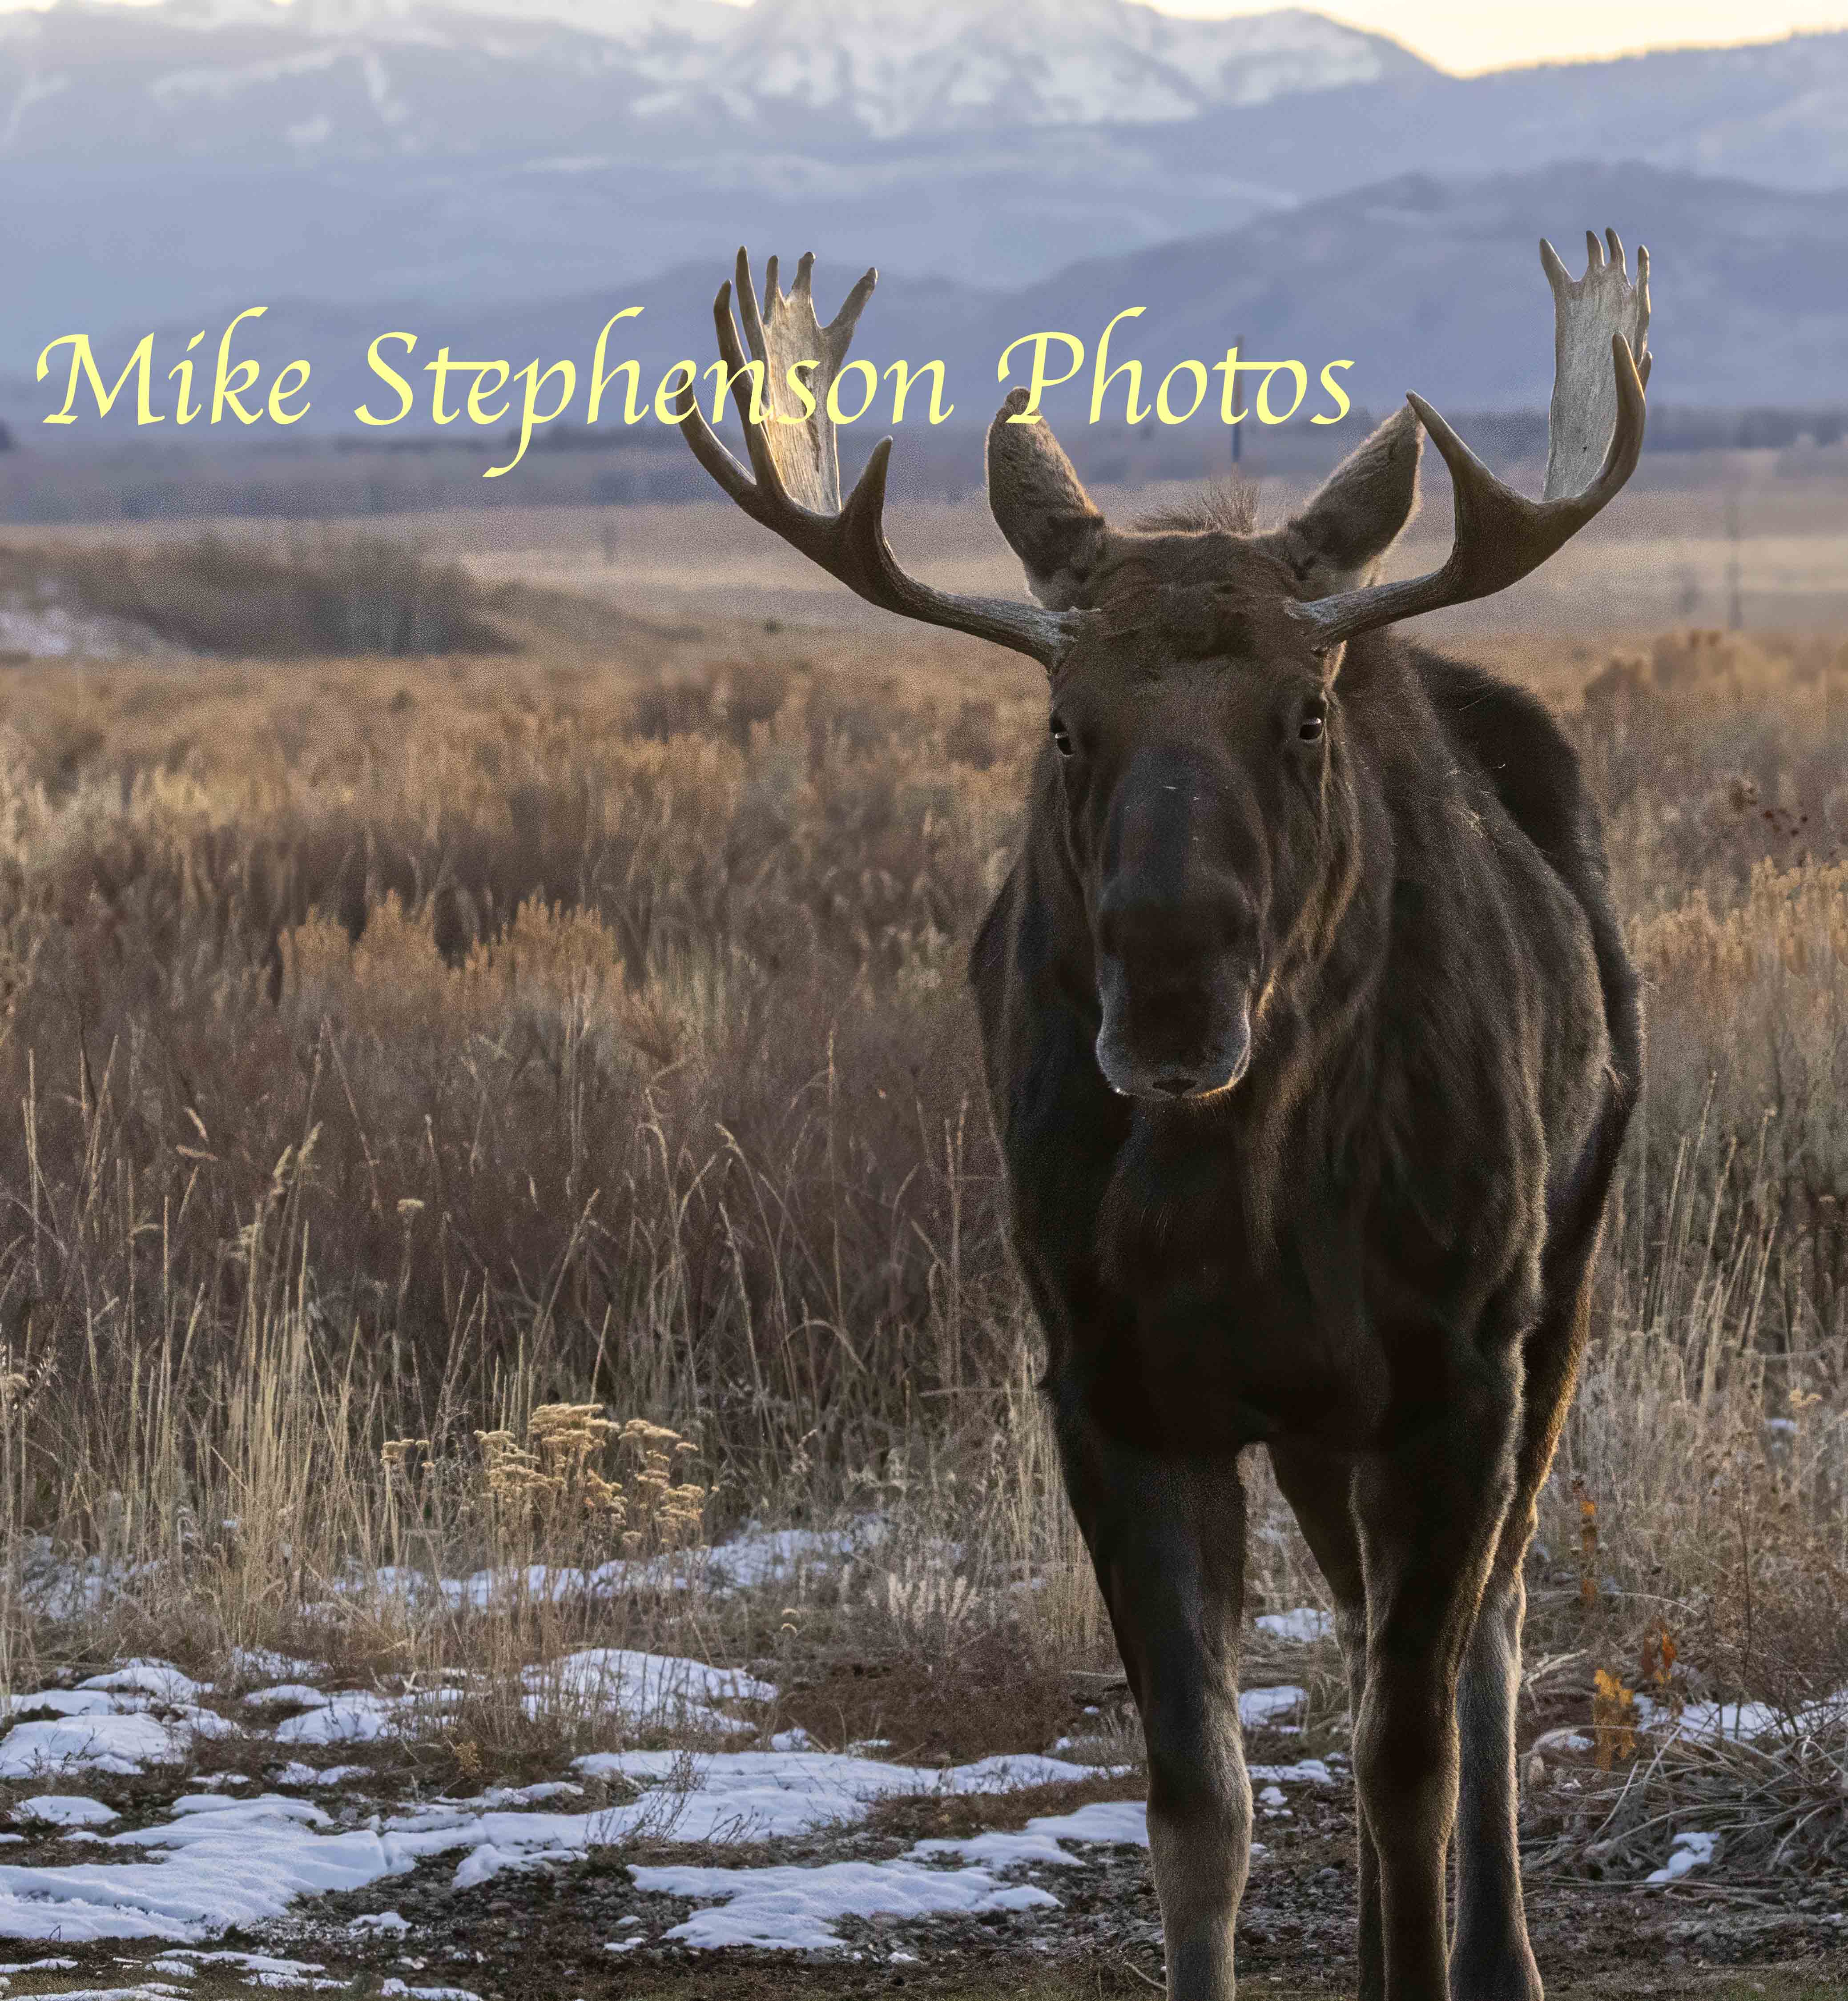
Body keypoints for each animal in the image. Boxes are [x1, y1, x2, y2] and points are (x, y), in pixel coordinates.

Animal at [674, 230, 1650, 2001]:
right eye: (1064, 722)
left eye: (1305, 714)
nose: (1172, 998)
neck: (1242, 1207)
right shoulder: (1111, 1385)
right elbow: (1199, 1801)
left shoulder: (1454, 1363)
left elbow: (1405, 1753)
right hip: (1324, 1421)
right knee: (1365, 1635)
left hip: (1558, 1288)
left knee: (1482, 1636)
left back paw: (1498, 1953)